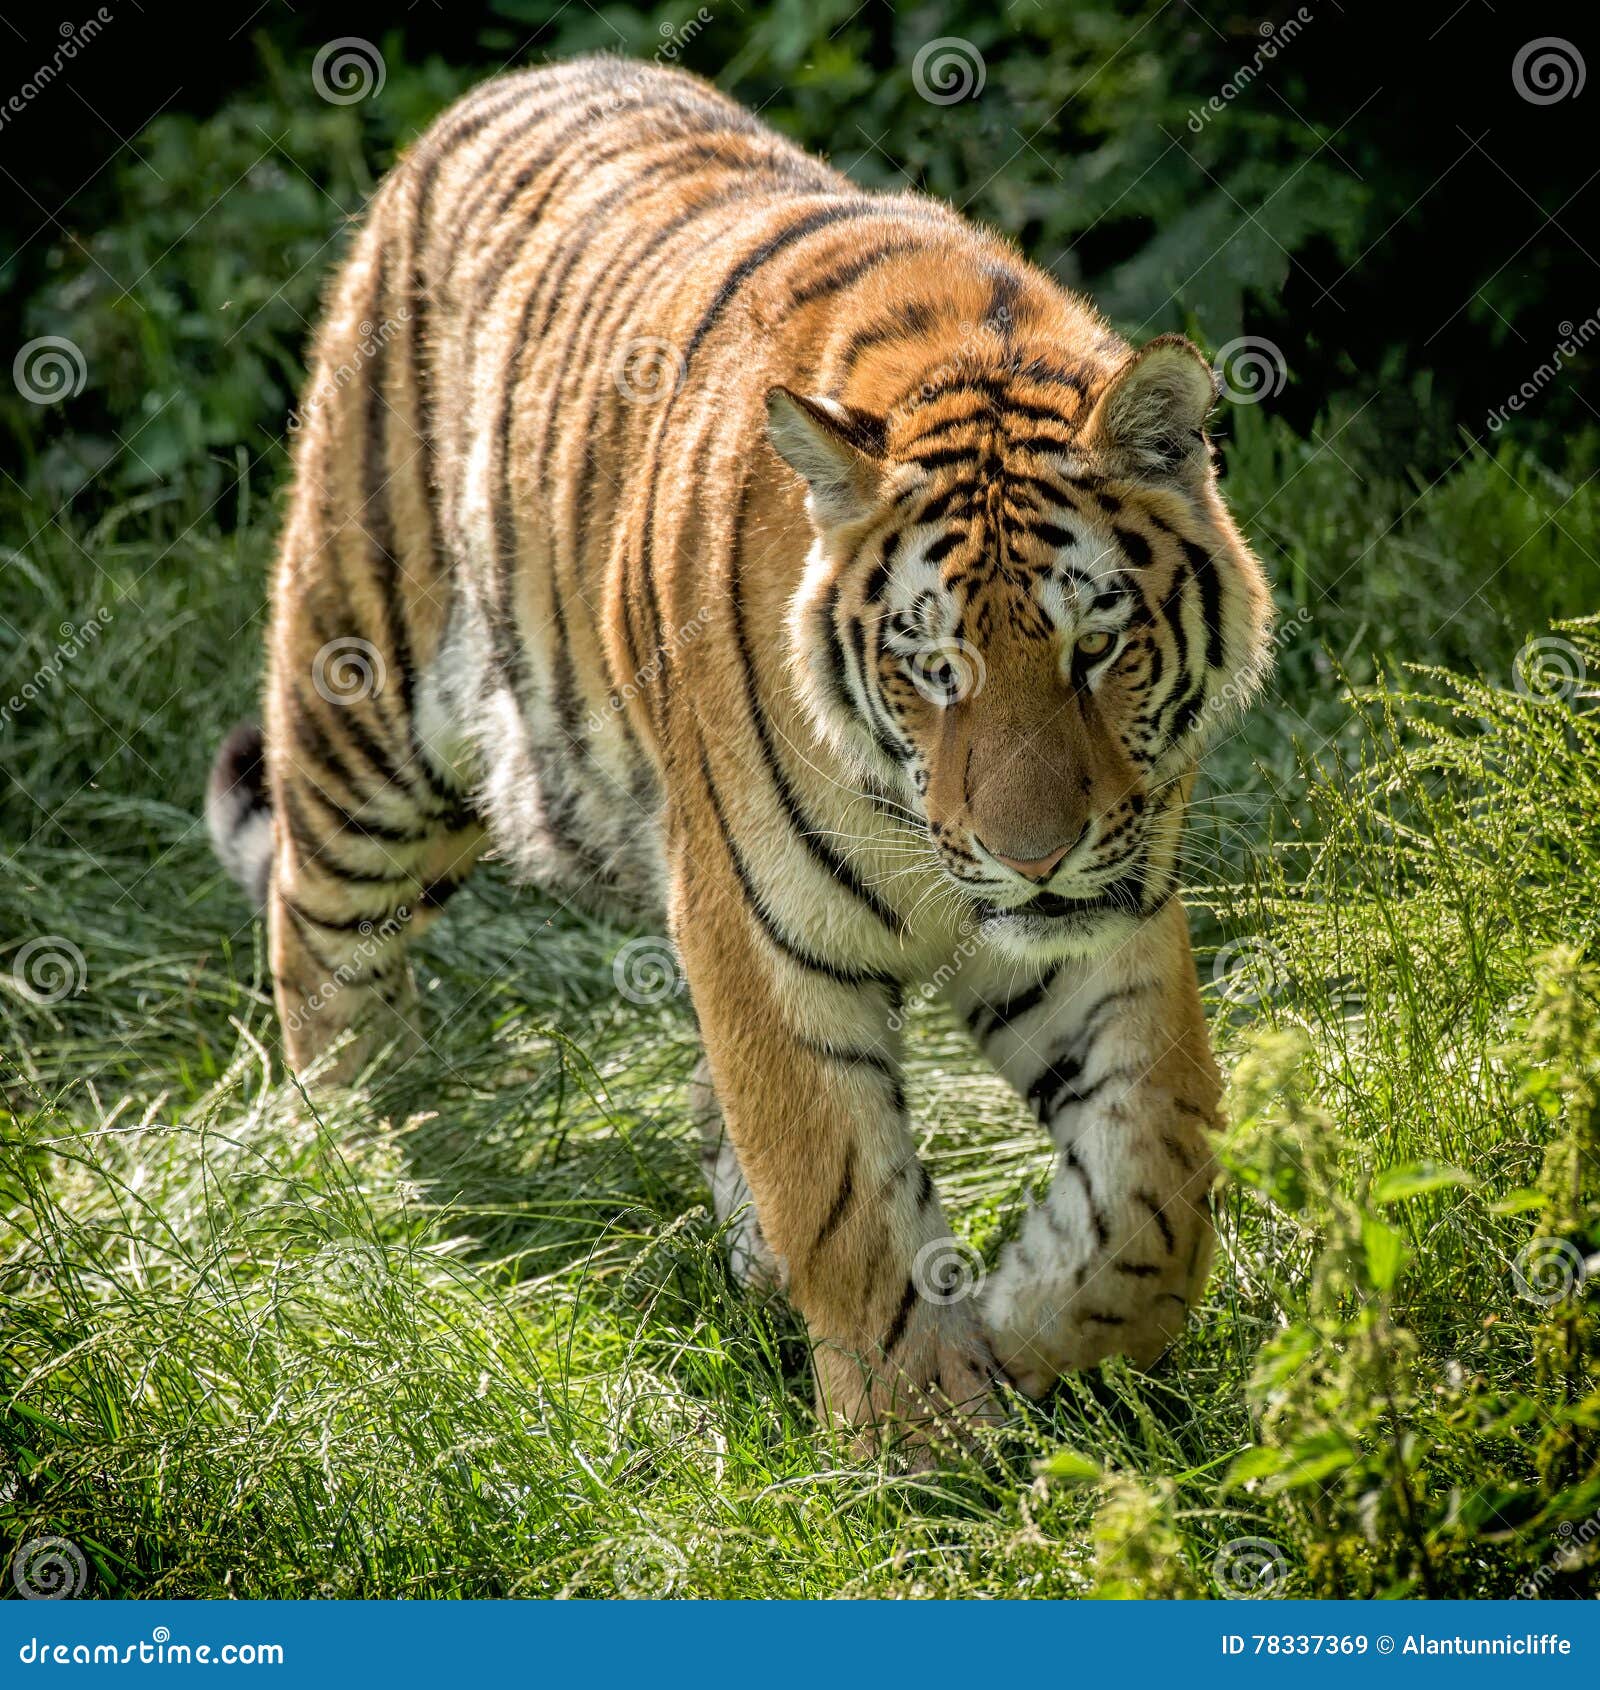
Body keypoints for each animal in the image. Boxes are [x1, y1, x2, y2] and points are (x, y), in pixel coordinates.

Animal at [206, 54, 1274, 1453]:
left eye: (1096, 646)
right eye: (935, 667)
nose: (1029, 858)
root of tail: (509, 86)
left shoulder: (1108, 917)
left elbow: (1157, 1168)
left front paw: (1036, 1324)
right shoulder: (763, 931)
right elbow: (846, 1201)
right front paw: (920, 1442)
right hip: (365, 704)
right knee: (321, 936)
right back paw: (362, 1169)